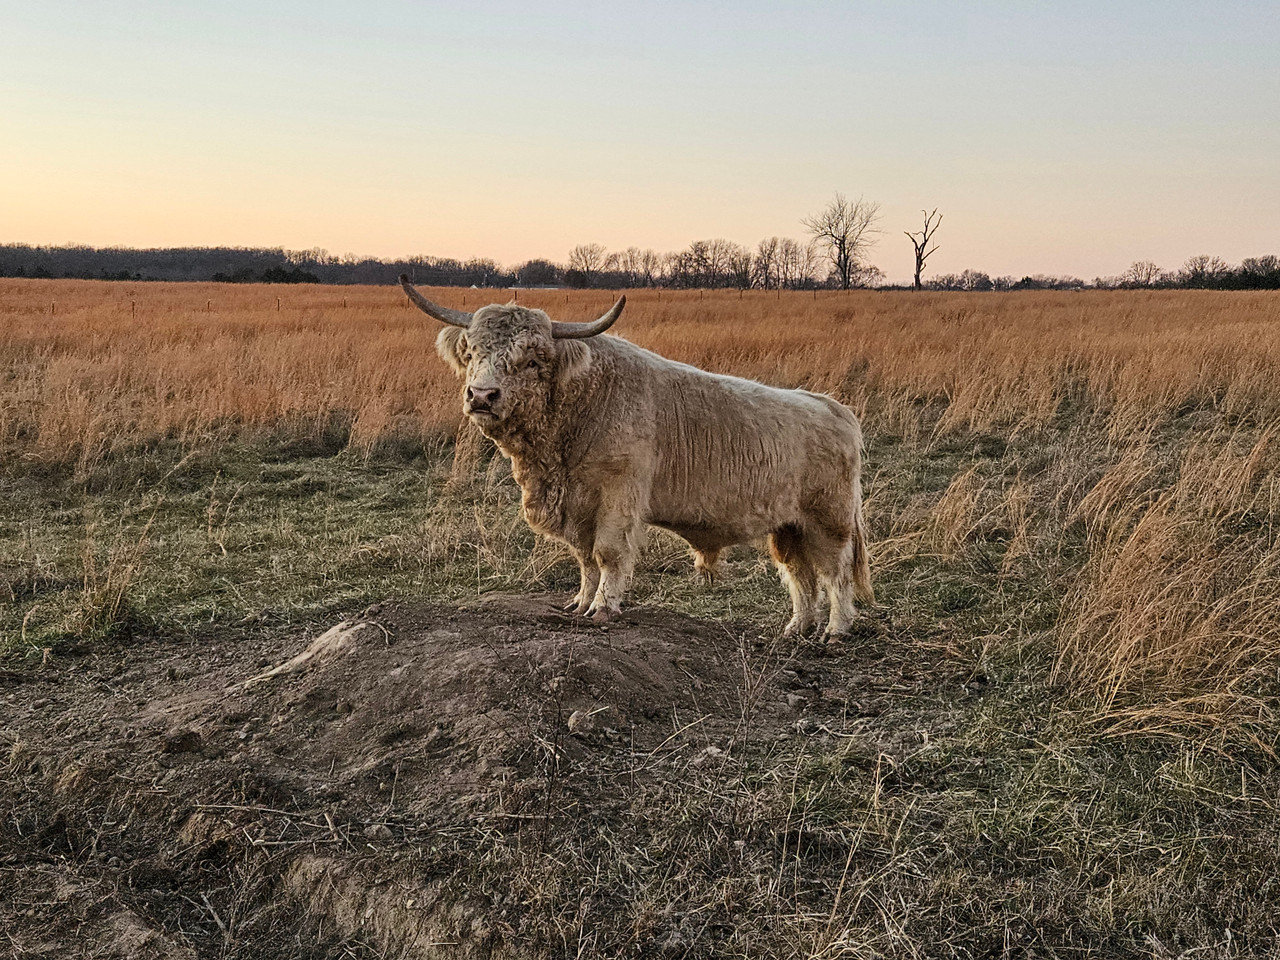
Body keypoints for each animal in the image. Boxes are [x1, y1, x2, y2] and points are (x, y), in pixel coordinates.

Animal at [402, 276, 873, 639]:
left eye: (533, 360)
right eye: (472, 351)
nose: (482, 395)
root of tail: (834, 408)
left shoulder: (618, 495)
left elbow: (608, 554)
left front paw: (603, 609)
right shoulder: (578, 507)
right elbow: (585, 559)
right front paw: (580, 602)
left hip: (829, 523)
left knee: (835, 575)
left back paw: (835, 631)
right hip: (788, 528)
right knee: (800, 576)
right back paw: (796, 629)